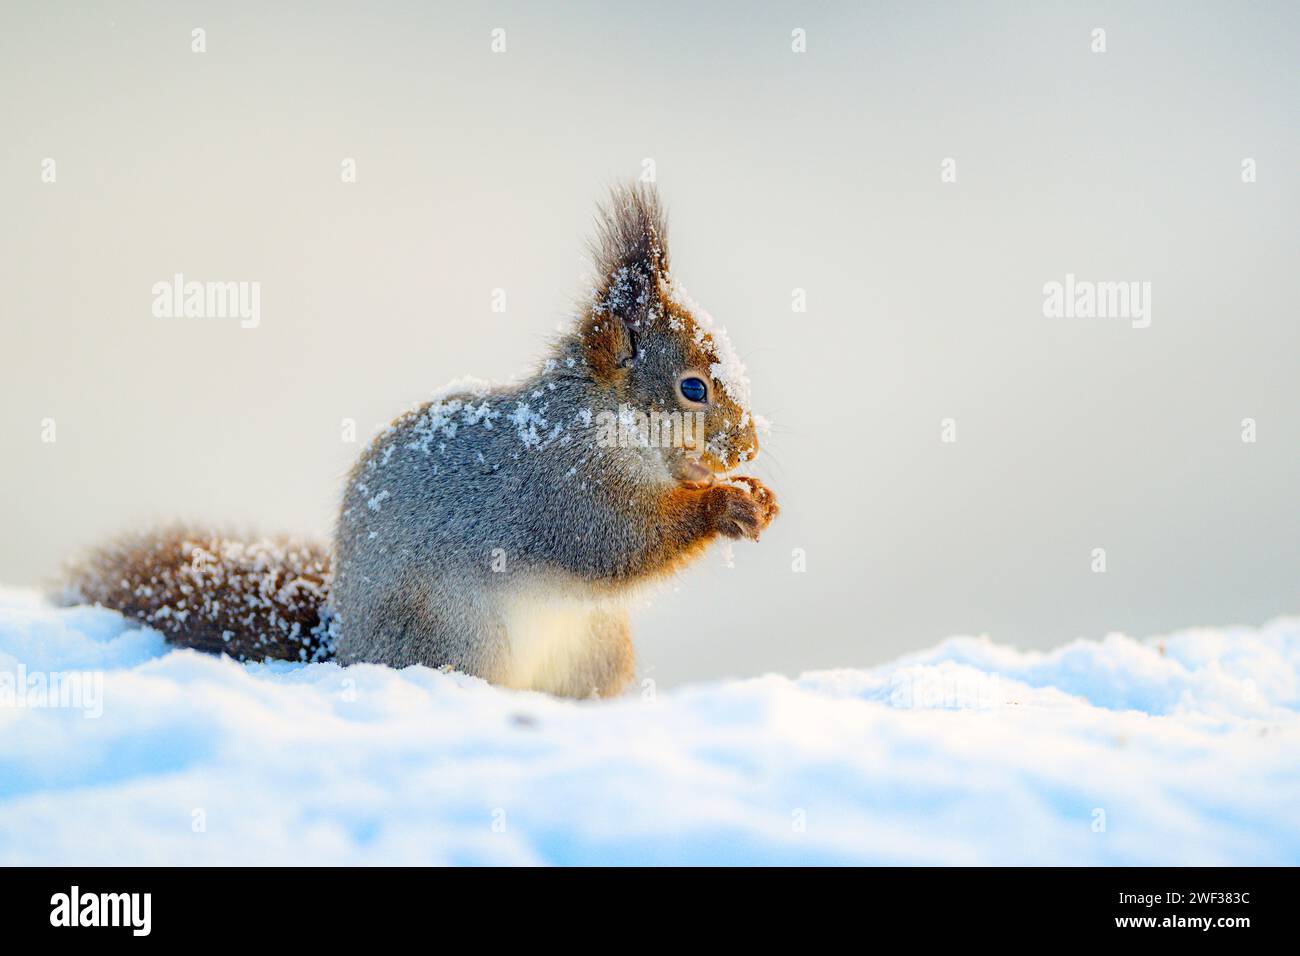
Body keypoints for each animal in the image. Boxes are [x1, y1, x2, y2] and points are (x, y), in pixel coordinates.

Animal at [59, 184, 779, 698]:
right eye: (692, 388)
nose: (746, 449)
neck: (599, 420)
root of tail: (343, 647)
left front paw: (752, 491)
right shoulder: (563, 493)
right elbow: (624, 544)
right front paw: (729, 504)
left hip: (597, 650)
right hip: (456, 636)